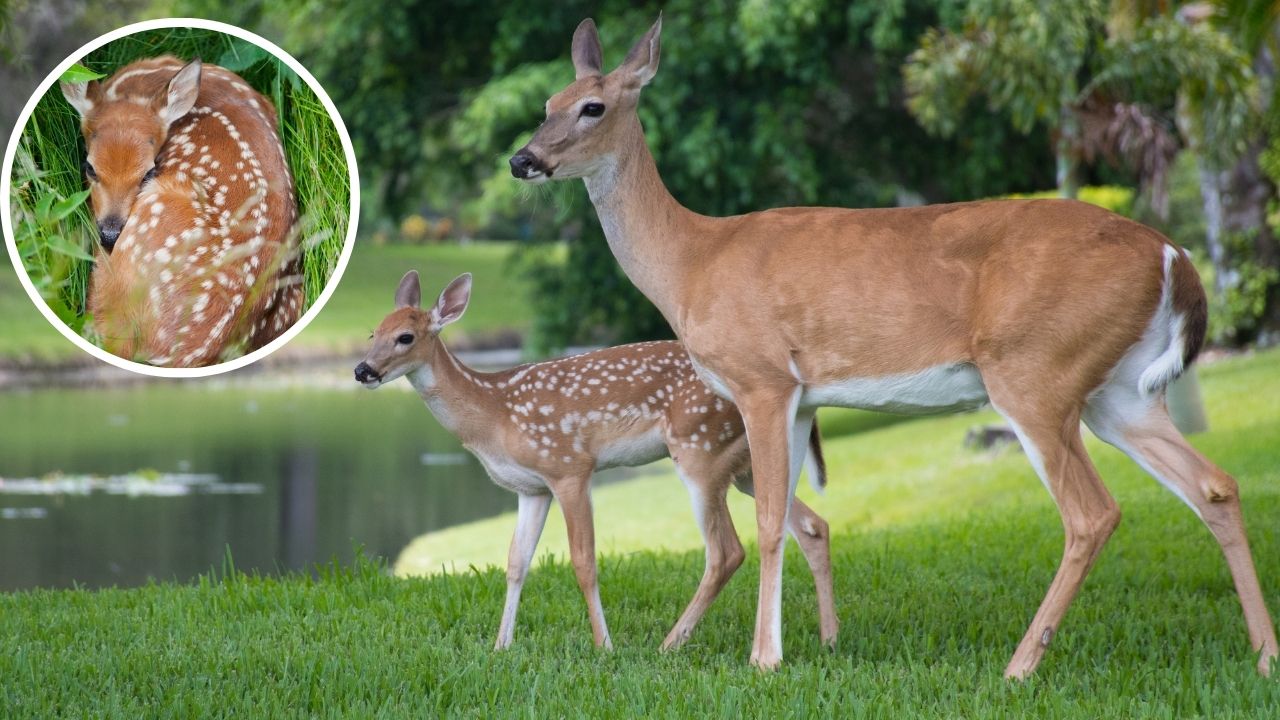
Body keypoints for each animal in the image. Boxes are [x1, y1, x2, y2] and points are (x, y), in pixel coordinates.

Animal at [354, 271, 839, 652]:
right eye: (372, 333)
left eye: (405, 337)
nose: (362, 370)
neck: (495, 413)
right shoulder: (531, 488)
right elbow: (516, 563)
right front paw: (500, 646)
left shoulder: (569, 465)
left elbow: (584, 562)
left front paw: (603, 645)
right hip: (740, 465)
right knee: (810, 524)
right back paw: (829, 638)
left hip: (699, 449)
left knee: (727, 551)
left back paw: (670, 644)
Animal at [507, 16, 1278, 677]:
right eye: (547, 101)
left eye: (593, 107)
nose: (522, 159)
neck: (691, 261)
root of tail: (1175, 255)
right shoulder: (802, 397)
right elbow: (798, 521)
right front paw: (801, 644)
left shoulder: (762, 378)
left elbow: (769, 520)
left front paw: (764, 658)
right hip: (1117, 390)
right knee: (1213, 484)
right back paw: (1264, 654)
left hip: (1035, 372)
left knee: (1093, 513)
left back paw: (1019, 666)